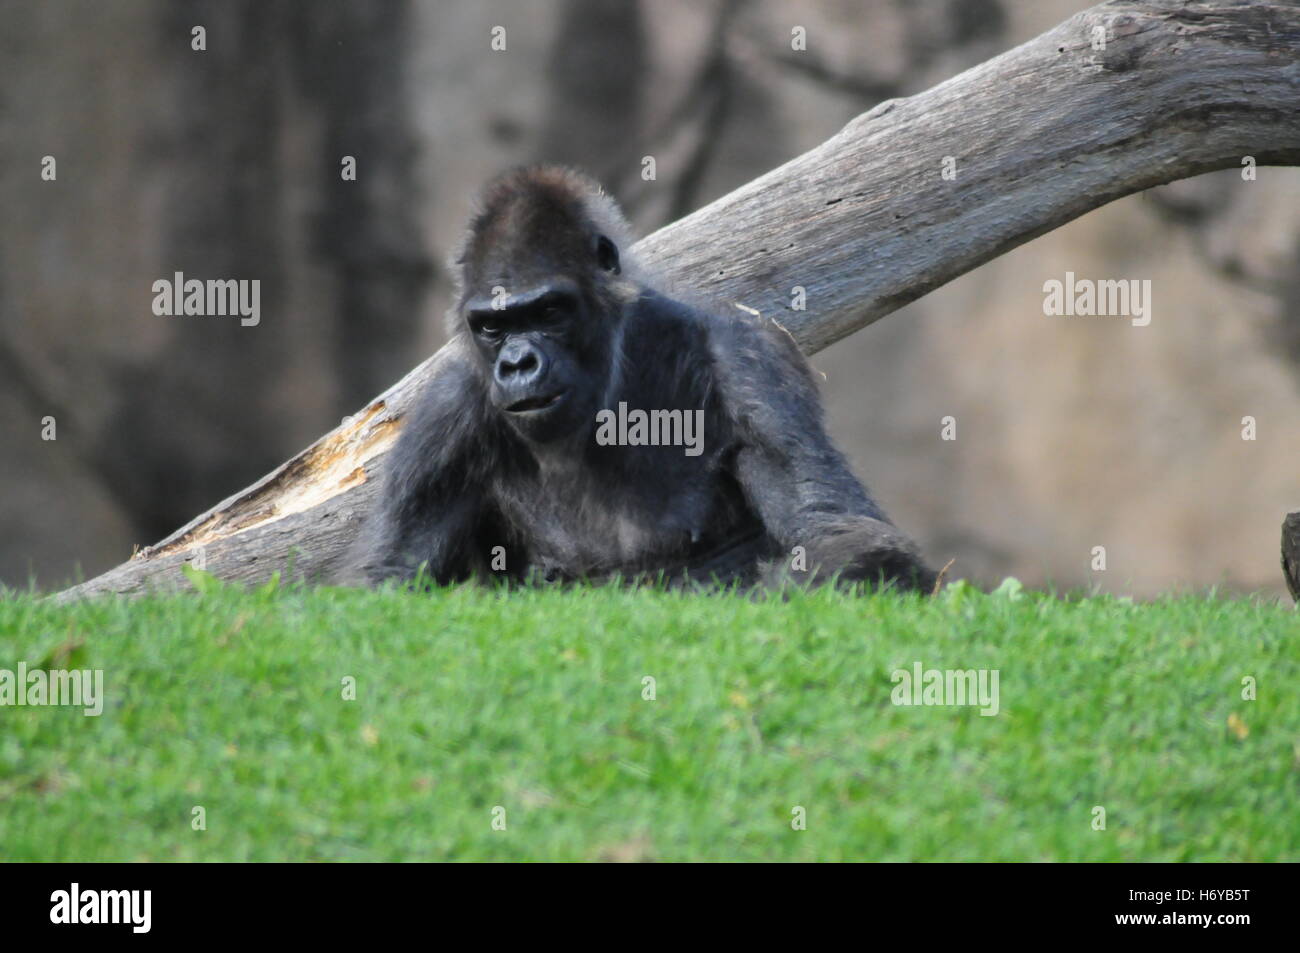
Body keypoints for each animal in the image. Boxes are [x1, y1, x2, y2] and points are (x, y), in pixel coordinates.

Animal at [348, 165, 934, 593]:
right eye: (492, 326)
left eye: (549, 311)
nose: (517, 364)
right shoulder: (444, 417)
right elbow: (389, 576)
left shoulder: (747, 359)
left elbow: (834, 531)